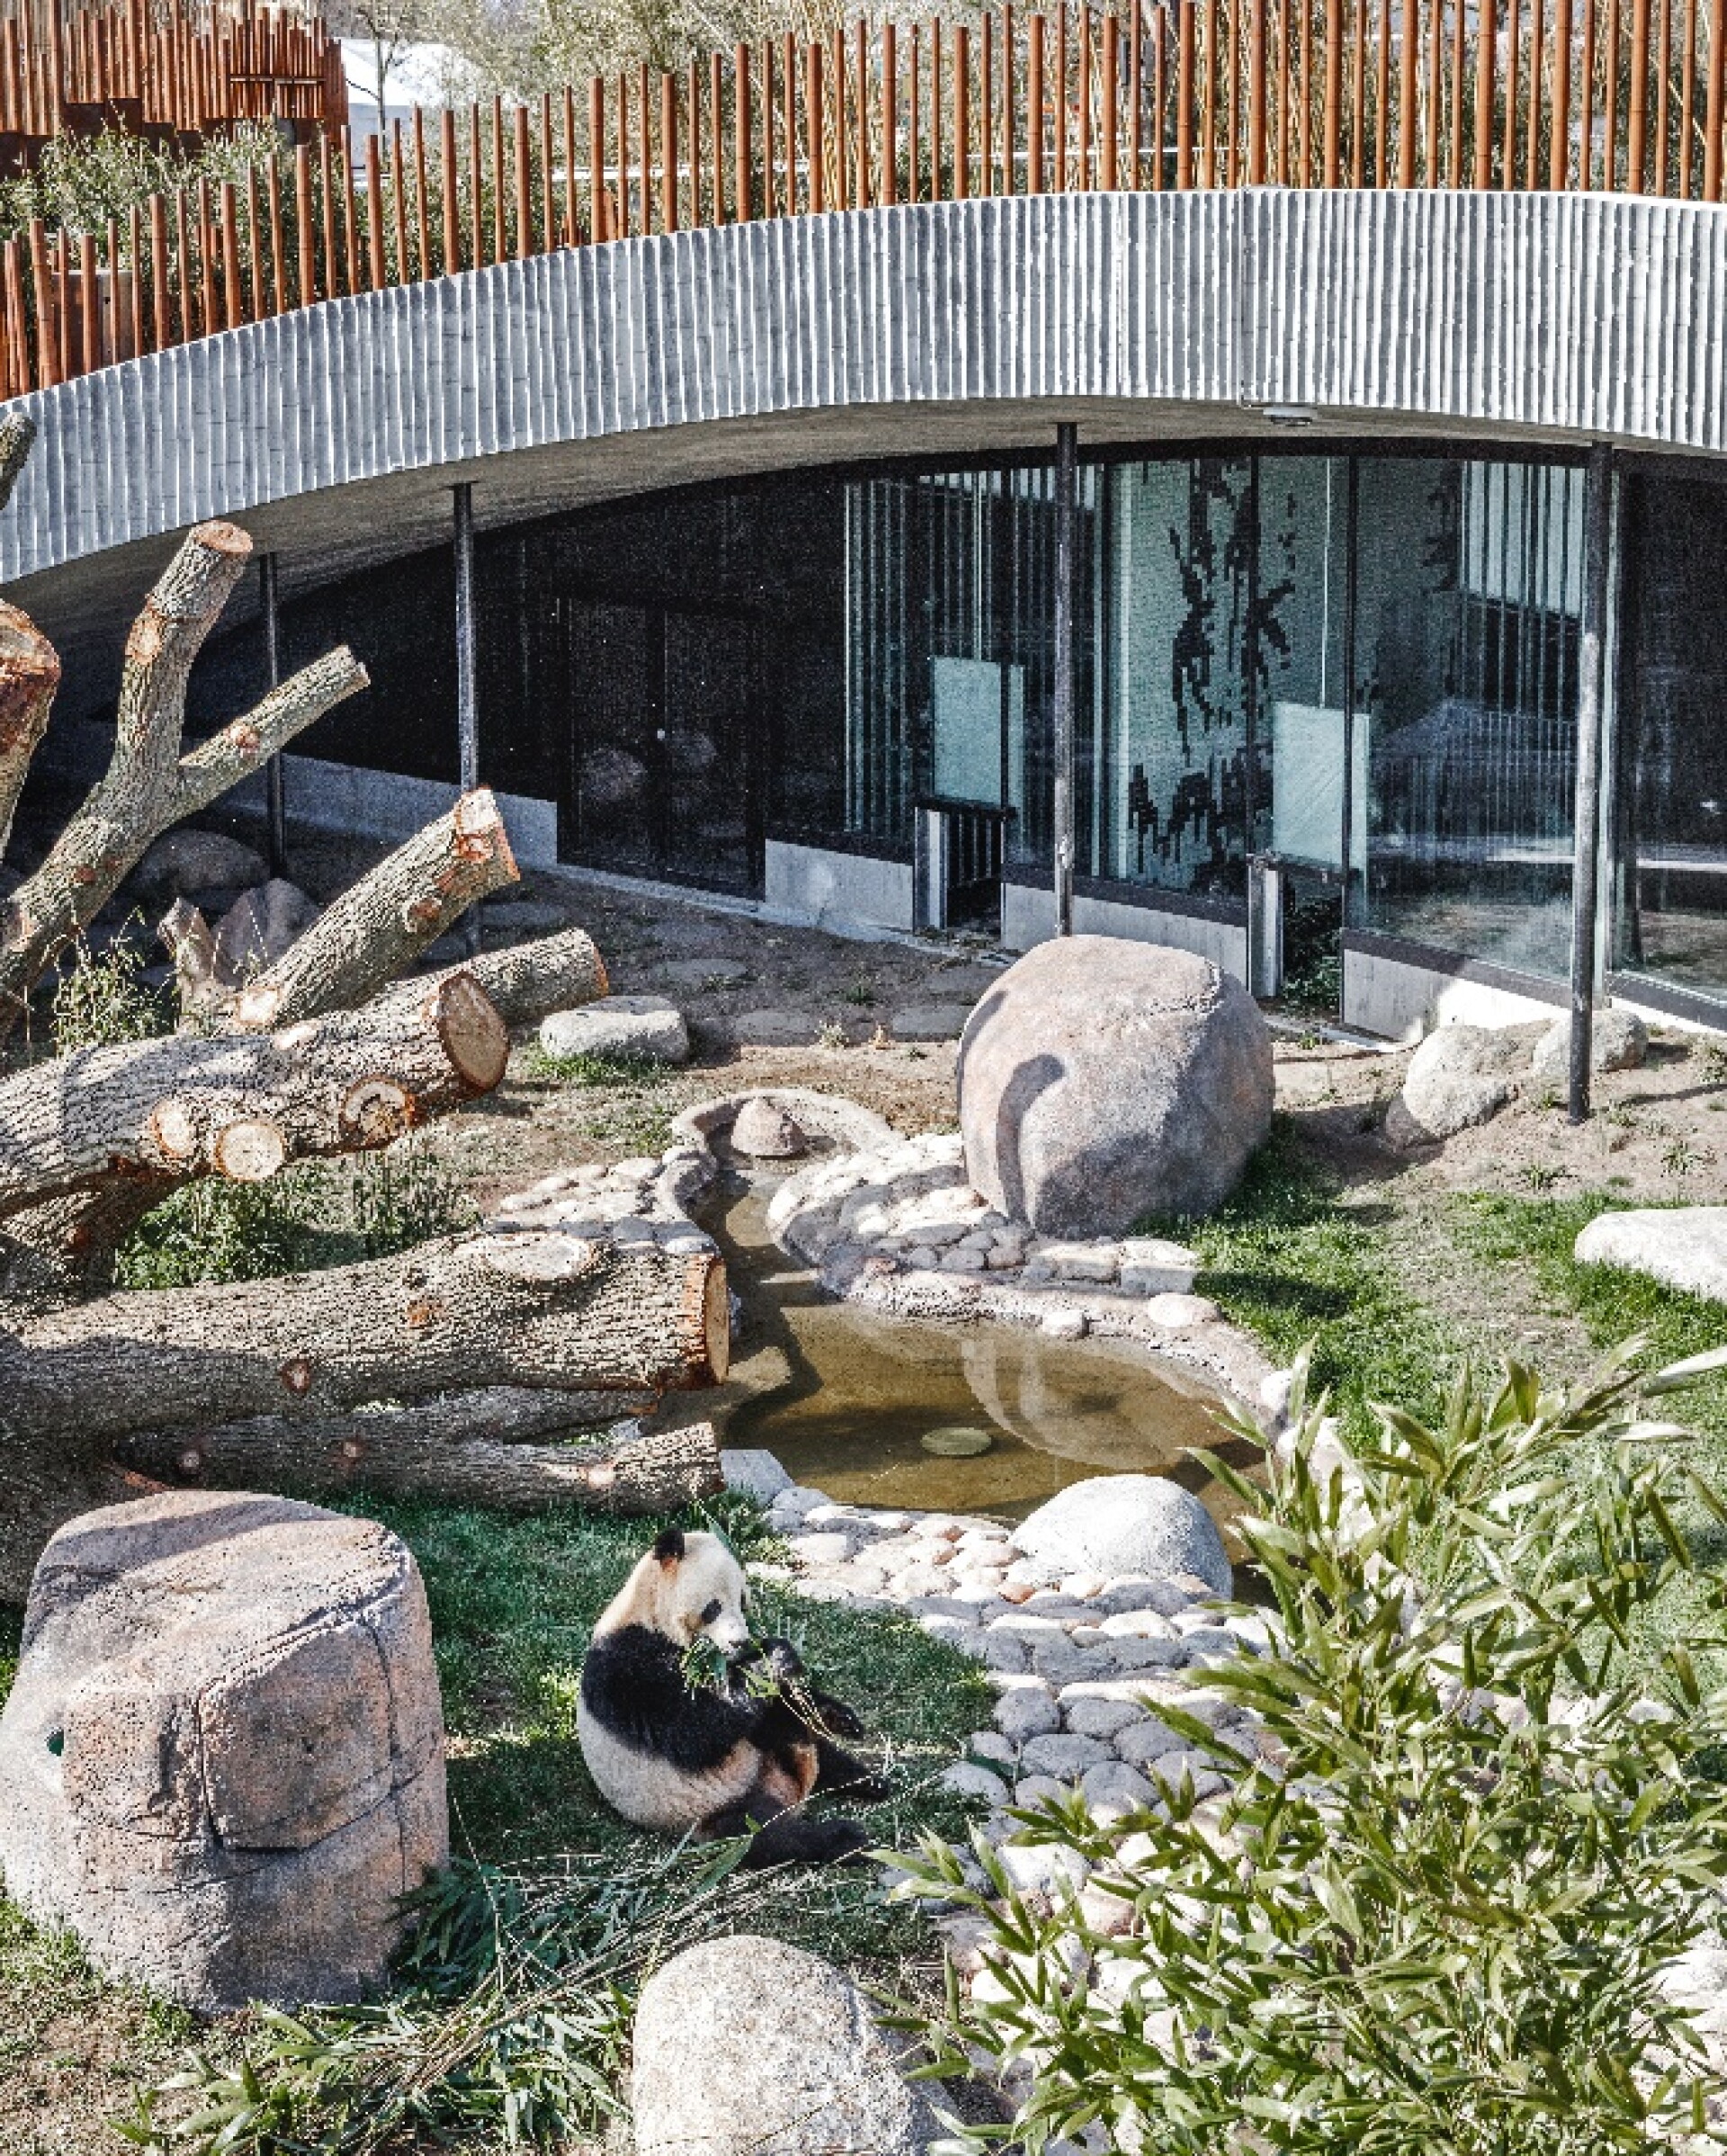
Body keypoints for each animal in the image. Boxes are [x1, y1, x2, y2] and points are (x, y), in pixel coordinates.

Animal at [578, 1526, 889, 1866]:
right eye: (713, 1607)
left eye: (742, 1601)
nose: (740, 1642)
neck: (647, 1610)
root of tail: (791, 1793)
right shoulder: (627, 1663)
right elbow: (694, 1731)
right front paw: (775, 1659)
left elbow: (769, 1703)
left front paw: (833, 1711)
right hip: (711, 1808)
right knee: (762, 1834)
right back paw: (847, 1838)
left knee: (814, 1749)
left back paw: (870, 1781)